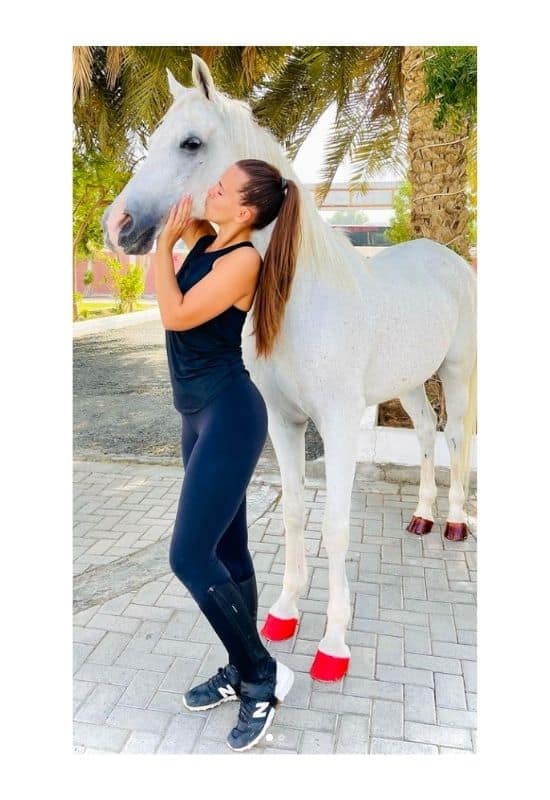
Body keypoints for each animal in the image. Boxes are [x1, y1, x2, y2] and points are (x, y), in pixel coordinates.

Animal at [101, 53, 477, 681]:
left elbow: (336, 527)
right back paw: (422, 516)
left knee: (456, 437)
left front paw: (335, 642)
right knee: (426, 433)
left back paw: (452, 522)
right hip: (408, 380)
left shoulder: (340, 426)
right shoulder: (283, 422)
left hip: (454, 371)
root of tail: (447, 258)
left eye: (190, 142)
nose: (117, 225)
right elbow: (298, 513)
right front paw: (283, 612)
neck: (300, 293)